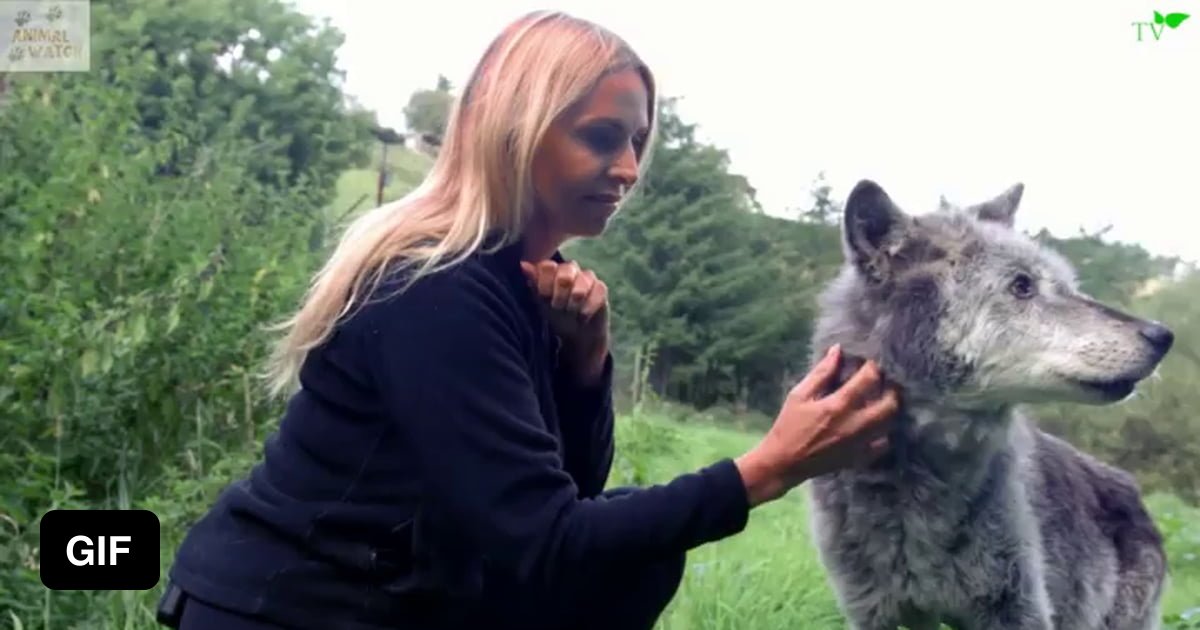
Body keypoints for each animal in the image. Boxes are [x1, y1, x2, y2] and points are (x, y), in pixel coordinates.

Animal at [804, 179, 1174, 630]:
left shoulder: (1018, 612)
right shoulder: (877, 614)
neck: (920, 480)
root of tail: (1135, 491)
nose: (1162, 336)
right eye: (1022, 285)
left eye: (1066, 285)